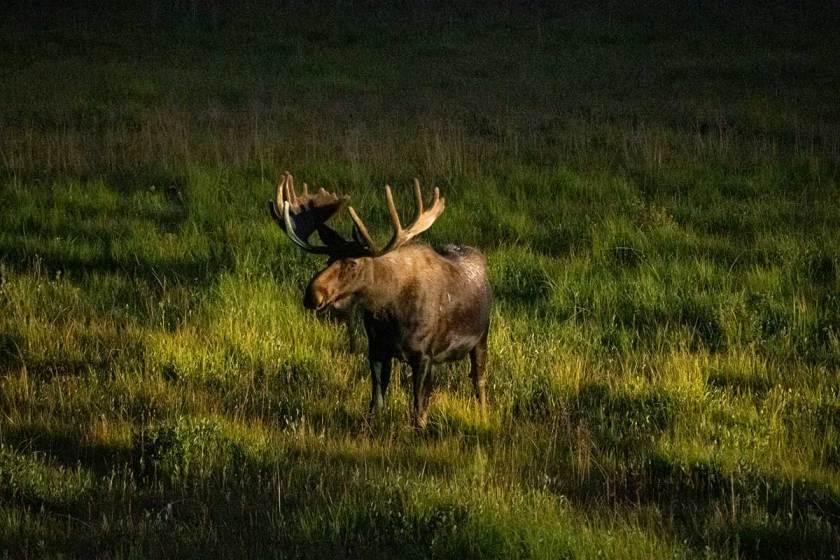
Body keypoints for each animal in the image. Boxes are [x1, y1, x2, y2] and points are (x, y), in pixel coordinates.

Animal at [269, 172, 492, 428]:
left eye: (353, 263)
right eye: (328, 259)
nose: (312, 294)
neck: (388, 311)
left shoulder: (424, 355)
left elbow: (418, 412)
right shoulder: (376, 348)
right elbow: (376, 404)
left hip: (481, 337)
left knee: (479, 380)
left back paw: (483, 414)